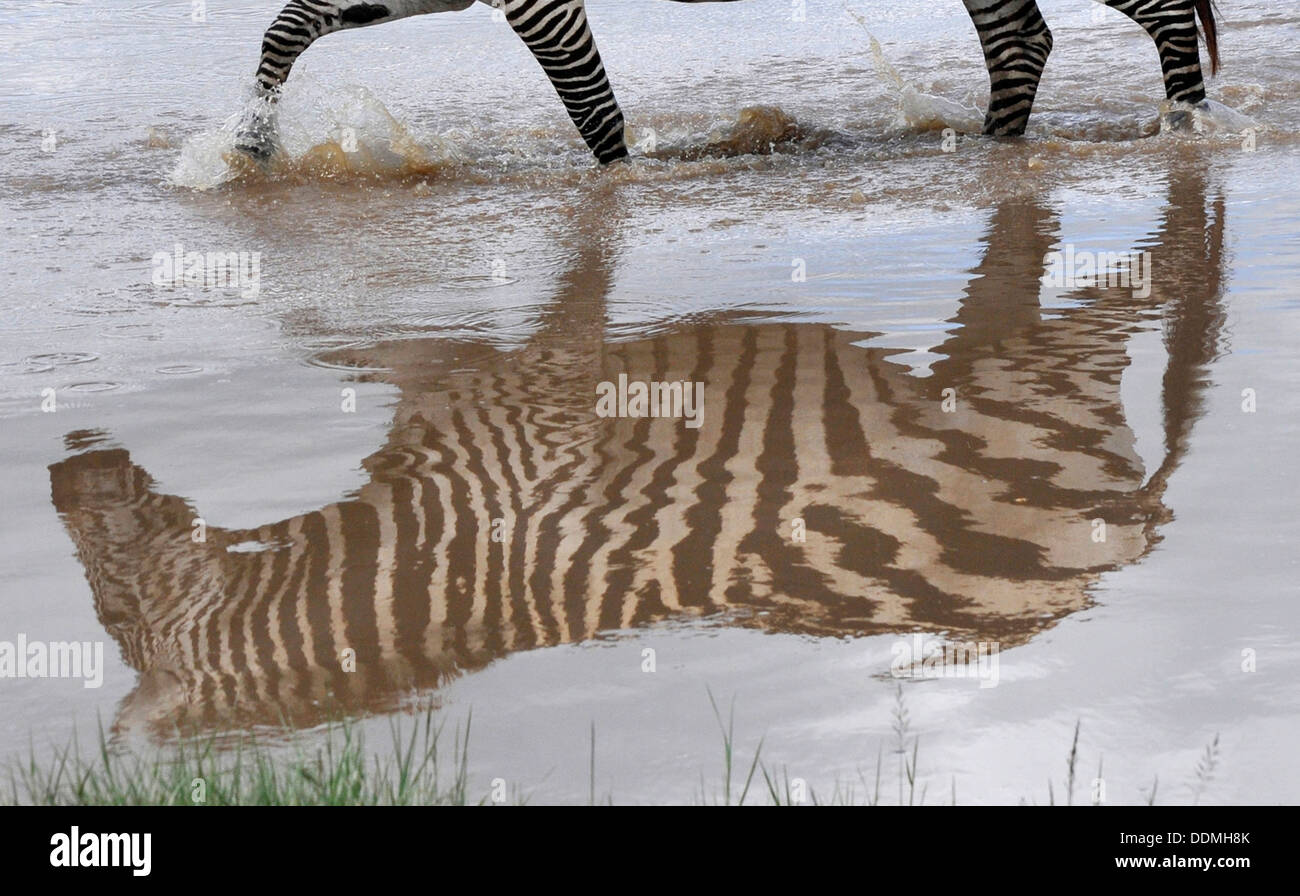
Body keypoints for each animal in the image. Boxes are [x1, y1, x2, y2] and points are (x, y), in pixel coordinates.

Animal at [50, 164, 1224, 736]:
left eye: (113, 605)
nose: (60, 470)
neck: (434, 541)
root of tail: (1114, 558)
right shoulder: (451, 380)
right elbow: (328, 337)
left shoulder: (542, 391)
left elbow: (585, 249)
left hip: (1045, 370)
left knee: (1160, 279)